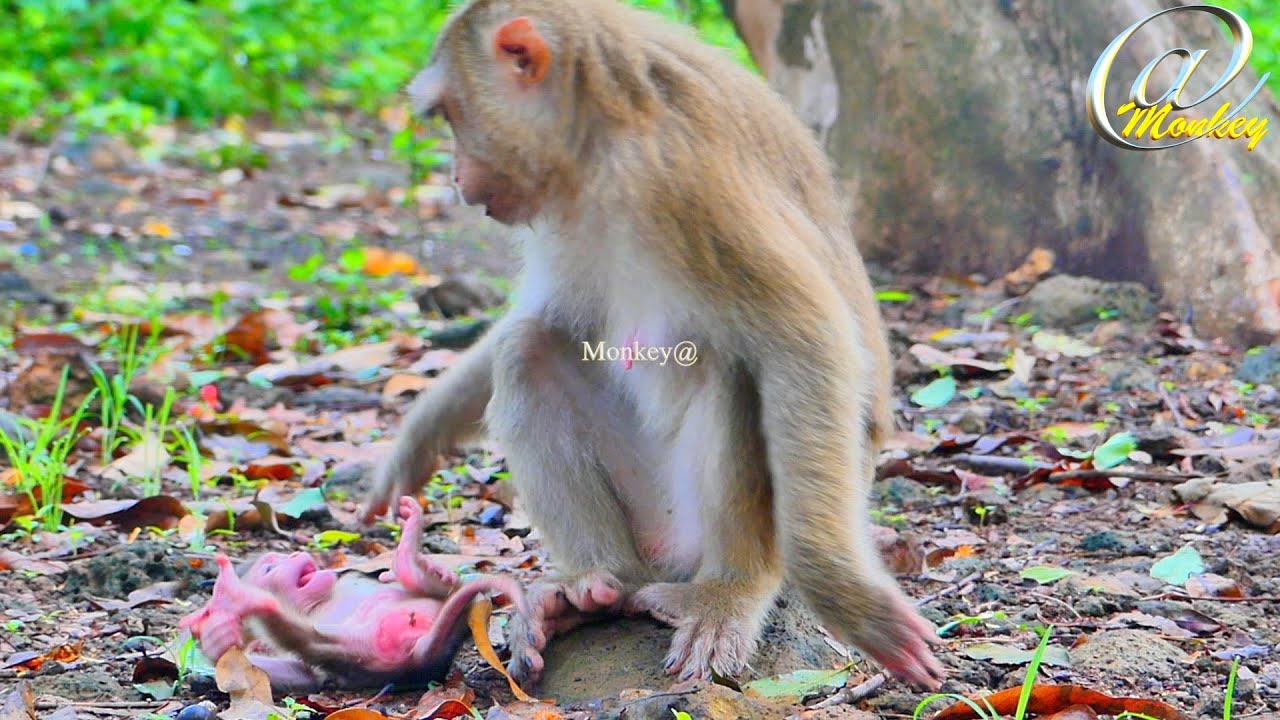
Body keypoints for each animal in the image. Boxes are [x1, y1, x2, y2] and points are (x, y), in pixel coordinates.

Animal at [180, 496, 529, 691]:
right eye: (268, 568)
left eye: (279, 558)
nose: (293, 557)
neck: (315, 602)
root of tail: (421, 652)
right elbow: (301, 675)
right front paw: (217, 637)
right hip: (360, 656)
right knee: (312, 643)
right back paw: (247, 600)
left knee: (445, 592)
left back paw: (411, 564)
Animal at [362, 0, 945, 689]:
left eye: (454, 114)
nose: (456, 179)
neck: (599, 135)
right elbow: (539, 315)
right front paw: (415, 441)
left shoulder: (685, 178)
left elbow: (807, 344)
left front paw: (845, 596)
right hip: (645, 519)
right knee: (529, 350)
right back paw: (592, 586)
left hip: (695, 529)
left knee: (733, 366)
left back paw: (733, 587)